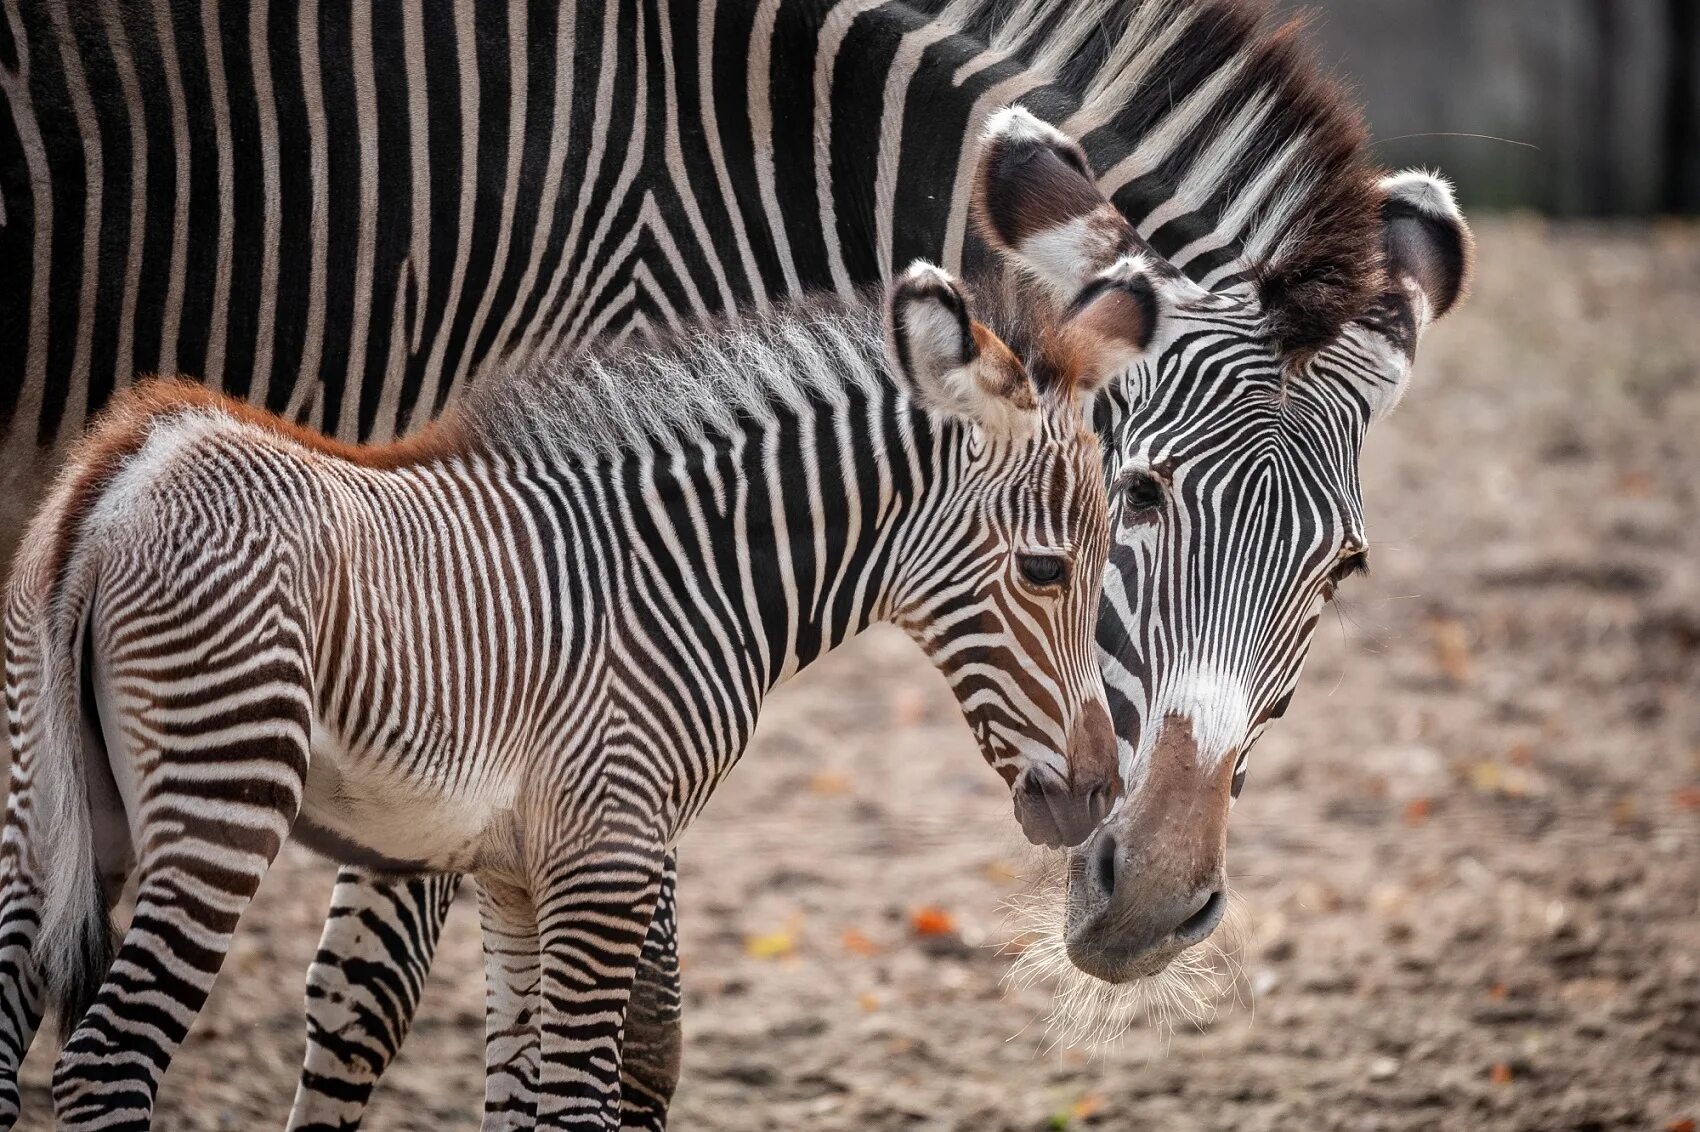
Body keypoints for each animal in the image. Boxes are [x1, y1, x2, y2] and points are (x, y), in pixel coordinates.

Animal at [0, 189, 1156, 1121]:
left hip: (49, 807)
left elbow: (519, 1099)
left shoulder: (512, 873)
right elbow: (572, 1103)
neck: (679, 566)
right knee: (106, 1063)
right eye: (1046, 570)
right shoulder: (609, 854)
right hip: (221, 797)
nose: (1097, 796)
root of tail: (122, 471)